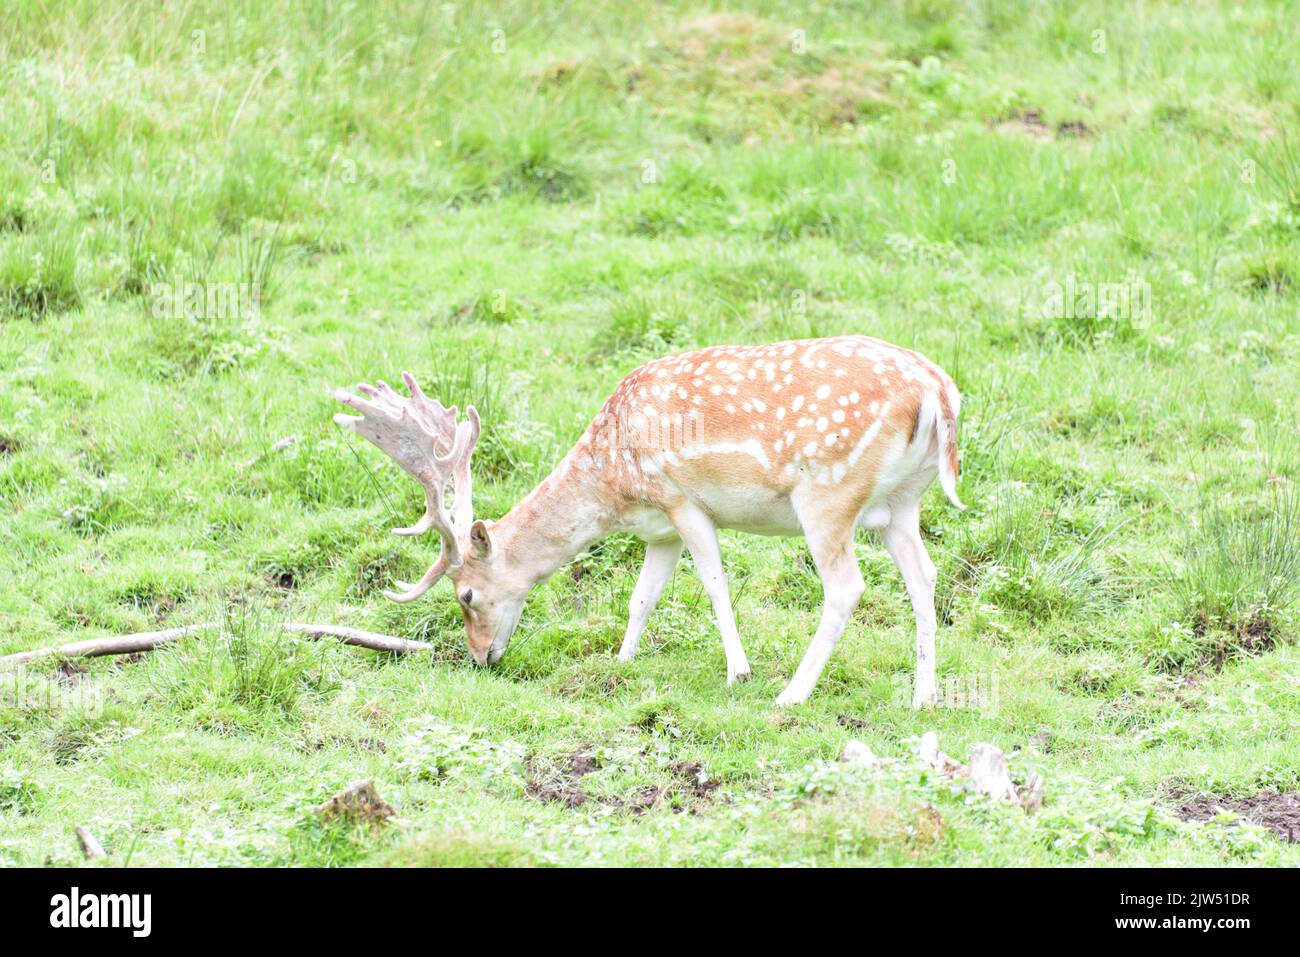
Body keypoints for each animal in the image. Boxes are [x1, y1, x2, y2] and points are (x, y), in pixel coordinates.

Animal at [332, 335, 963, 707]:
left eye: (465, 594)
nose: (480, 656)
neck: (617, 485)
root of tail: (939, 390)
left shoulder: (681, 498)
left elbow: (714, 585)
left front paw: (738, 672)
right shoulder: (659, 530)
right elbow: (643, 596)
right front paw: (621, 660)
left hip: (827, 493)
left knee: (846, 586)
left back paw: (791, 694)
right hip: (904, 501)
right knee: (924, 577)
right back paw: (924, 696)